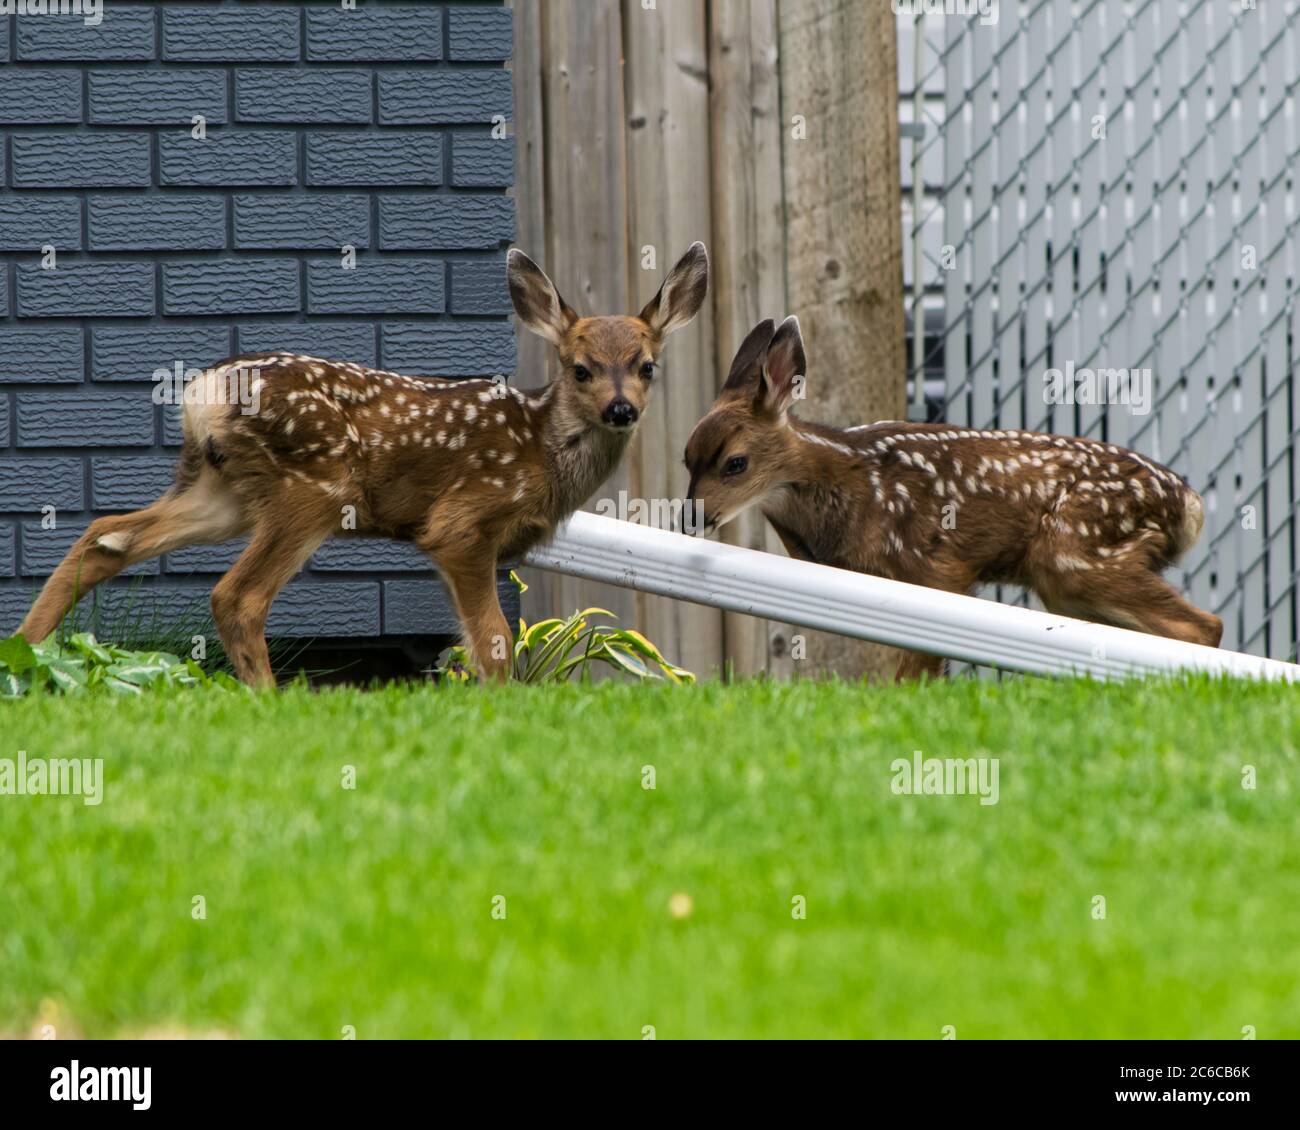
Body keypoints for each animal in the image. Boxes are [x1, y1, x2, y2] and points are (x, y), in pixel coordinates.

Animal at [13, 243, 710, 687]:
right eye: (581, 368)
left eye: (647, 366)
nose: (621, 408)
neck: (539, 446)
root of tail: (203, 391)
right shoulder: (462, 524)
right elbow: (492, 644)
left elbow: (469, 645)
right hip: (314, 485)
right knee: (236, 595)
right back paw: (268, 700)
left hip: (223, 489)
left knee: (107, 535)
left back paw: (25, 653)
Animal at [683, 316, 1223, 680]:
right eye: (685, 458)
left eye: (735, 463)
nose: (692, 516)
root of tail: (1188, 503)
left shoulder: (935, 571)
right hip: (1068, 582)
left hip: (1077, 549)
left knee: (1205, 627)